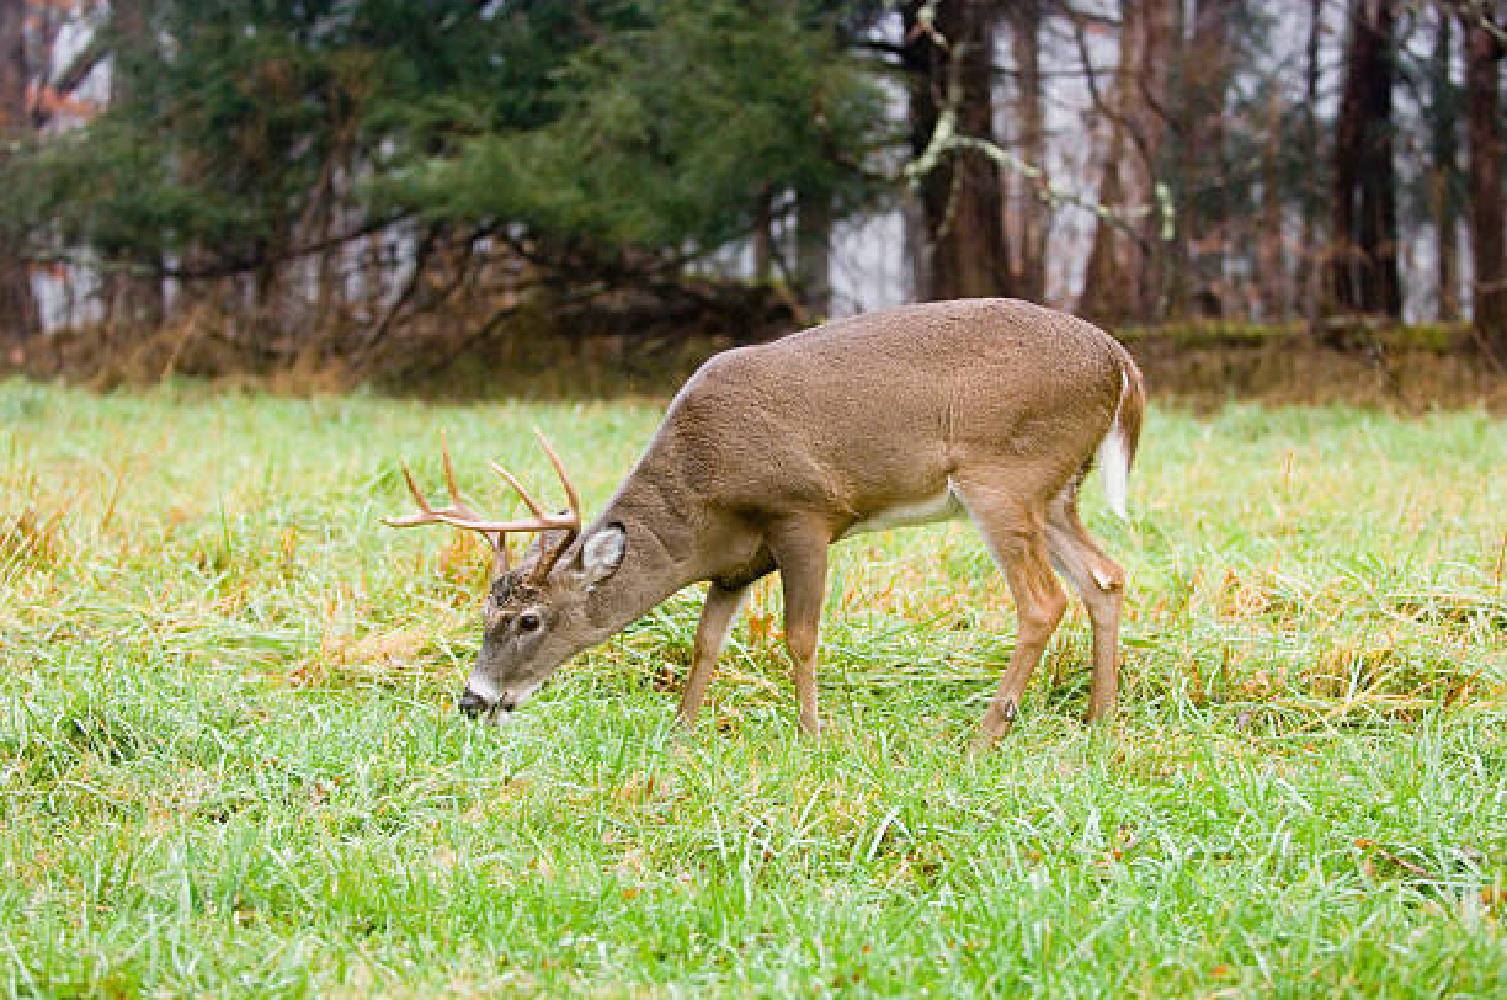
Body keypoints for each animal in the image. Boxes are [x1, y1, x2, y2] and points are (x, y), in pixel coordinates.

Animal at [385, 298, 1144, 749]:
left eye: (528, 620)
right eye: (485, 613)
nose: (473, 700)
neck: (705, 495)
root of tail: (1119, 361)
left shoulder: (803, 514)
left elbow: (799, 636)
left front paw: (811, 733)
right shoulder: (735, 562)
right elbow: (706, 641)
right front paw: (680, 732)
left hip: (1004, 477)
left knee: (1042, 600)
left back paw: (984, 734)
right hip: (1054, 492)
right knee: (1105, 576)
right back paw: (1099, 720)